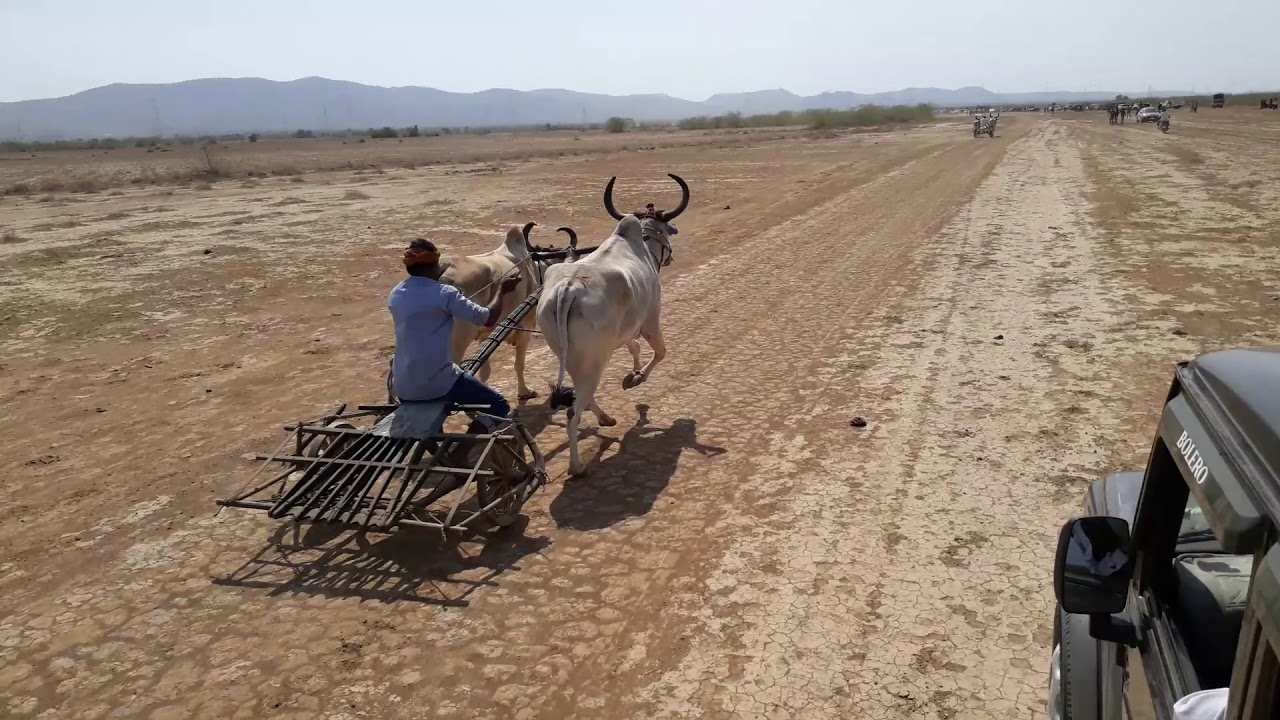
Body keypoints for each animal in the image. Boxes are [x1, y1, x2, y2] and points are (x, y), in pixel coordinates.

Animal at [536, 174, 689, 476]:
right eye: (666, 232)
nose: (670, 257)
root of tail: (568, 289)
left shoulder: (626, 330)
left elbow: (634, 348)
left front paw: (632, 374)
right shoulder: (650, 319)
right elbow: (660, 351)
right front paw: (637, 378)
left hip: (569, 354)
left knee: (580, 395)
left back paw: (605, 418)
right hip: (595, 358)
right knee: (573, 410)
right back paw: (577, 467)